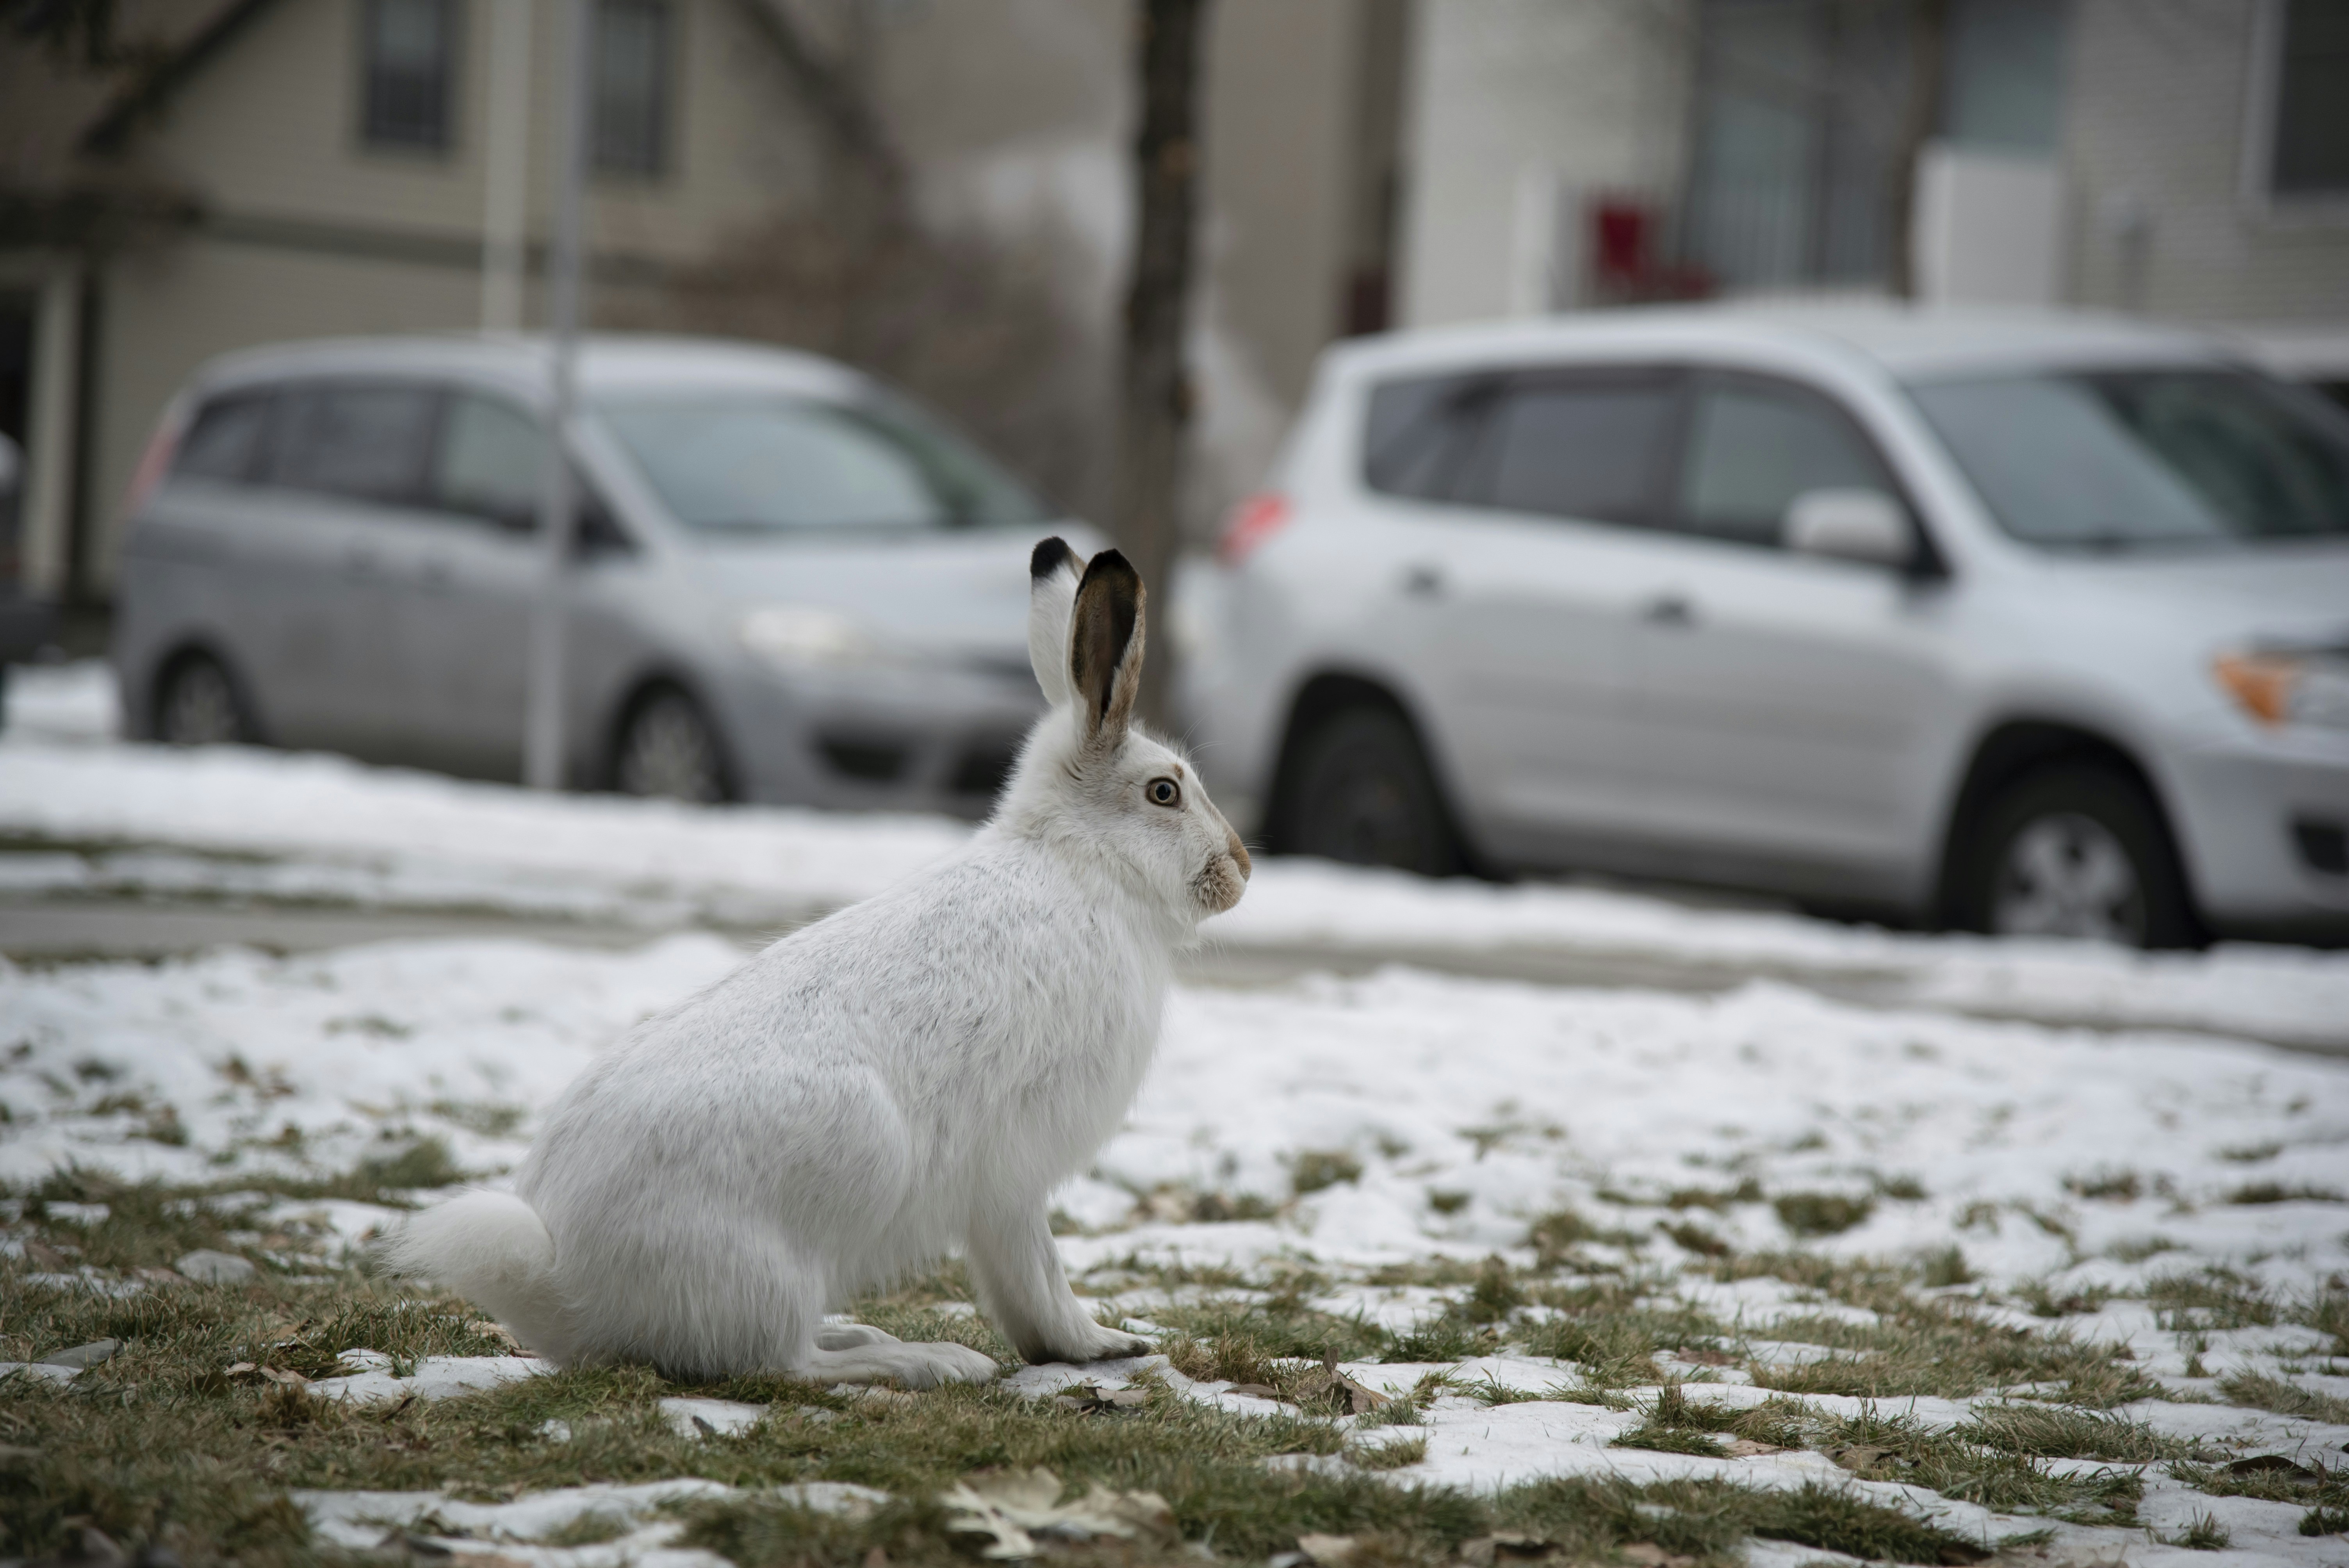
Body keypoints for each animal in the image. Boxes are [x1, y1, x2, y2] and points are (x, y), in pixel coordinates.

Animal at [387, 539, 1251, 1386]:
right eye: (1165, 792)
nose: (1241, 870)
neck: (1080, 862)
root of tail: (561, 1285)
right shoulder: (1014, 1171)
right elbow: (1034, 1271)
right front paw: (1100, 1344)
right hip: (814, 1215)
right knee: (780, 1362)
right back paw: (926, 1360)